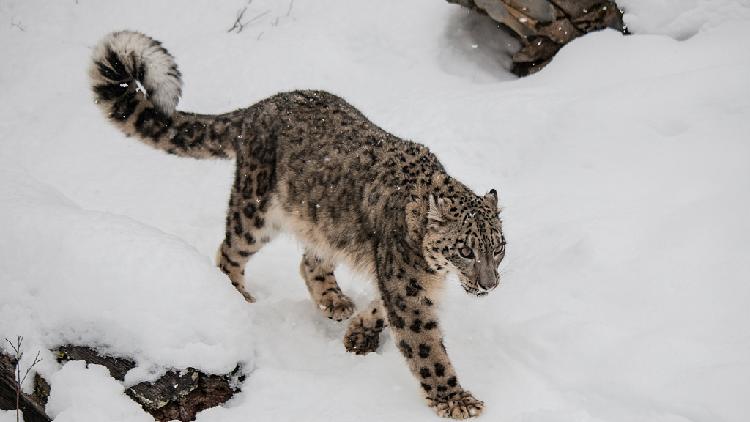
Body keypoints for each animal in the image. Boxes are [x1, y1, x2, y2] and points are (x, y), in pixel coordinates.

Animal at [89, 31, 507, 419]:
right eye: (465, 250)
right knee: (228, 251)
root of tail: (259, 107)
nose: (489, 284)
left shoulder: (405, 284)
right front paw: (456, 400)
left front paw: (360, 333)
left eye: (498, 248)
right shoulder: (408, 291)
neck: (434, 272)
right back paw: (238, 298)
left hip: (322, 222)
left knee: (309, 261)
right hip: (255, 211)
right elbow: (426, 348)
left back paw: (334, 301)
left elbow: (381, 306)